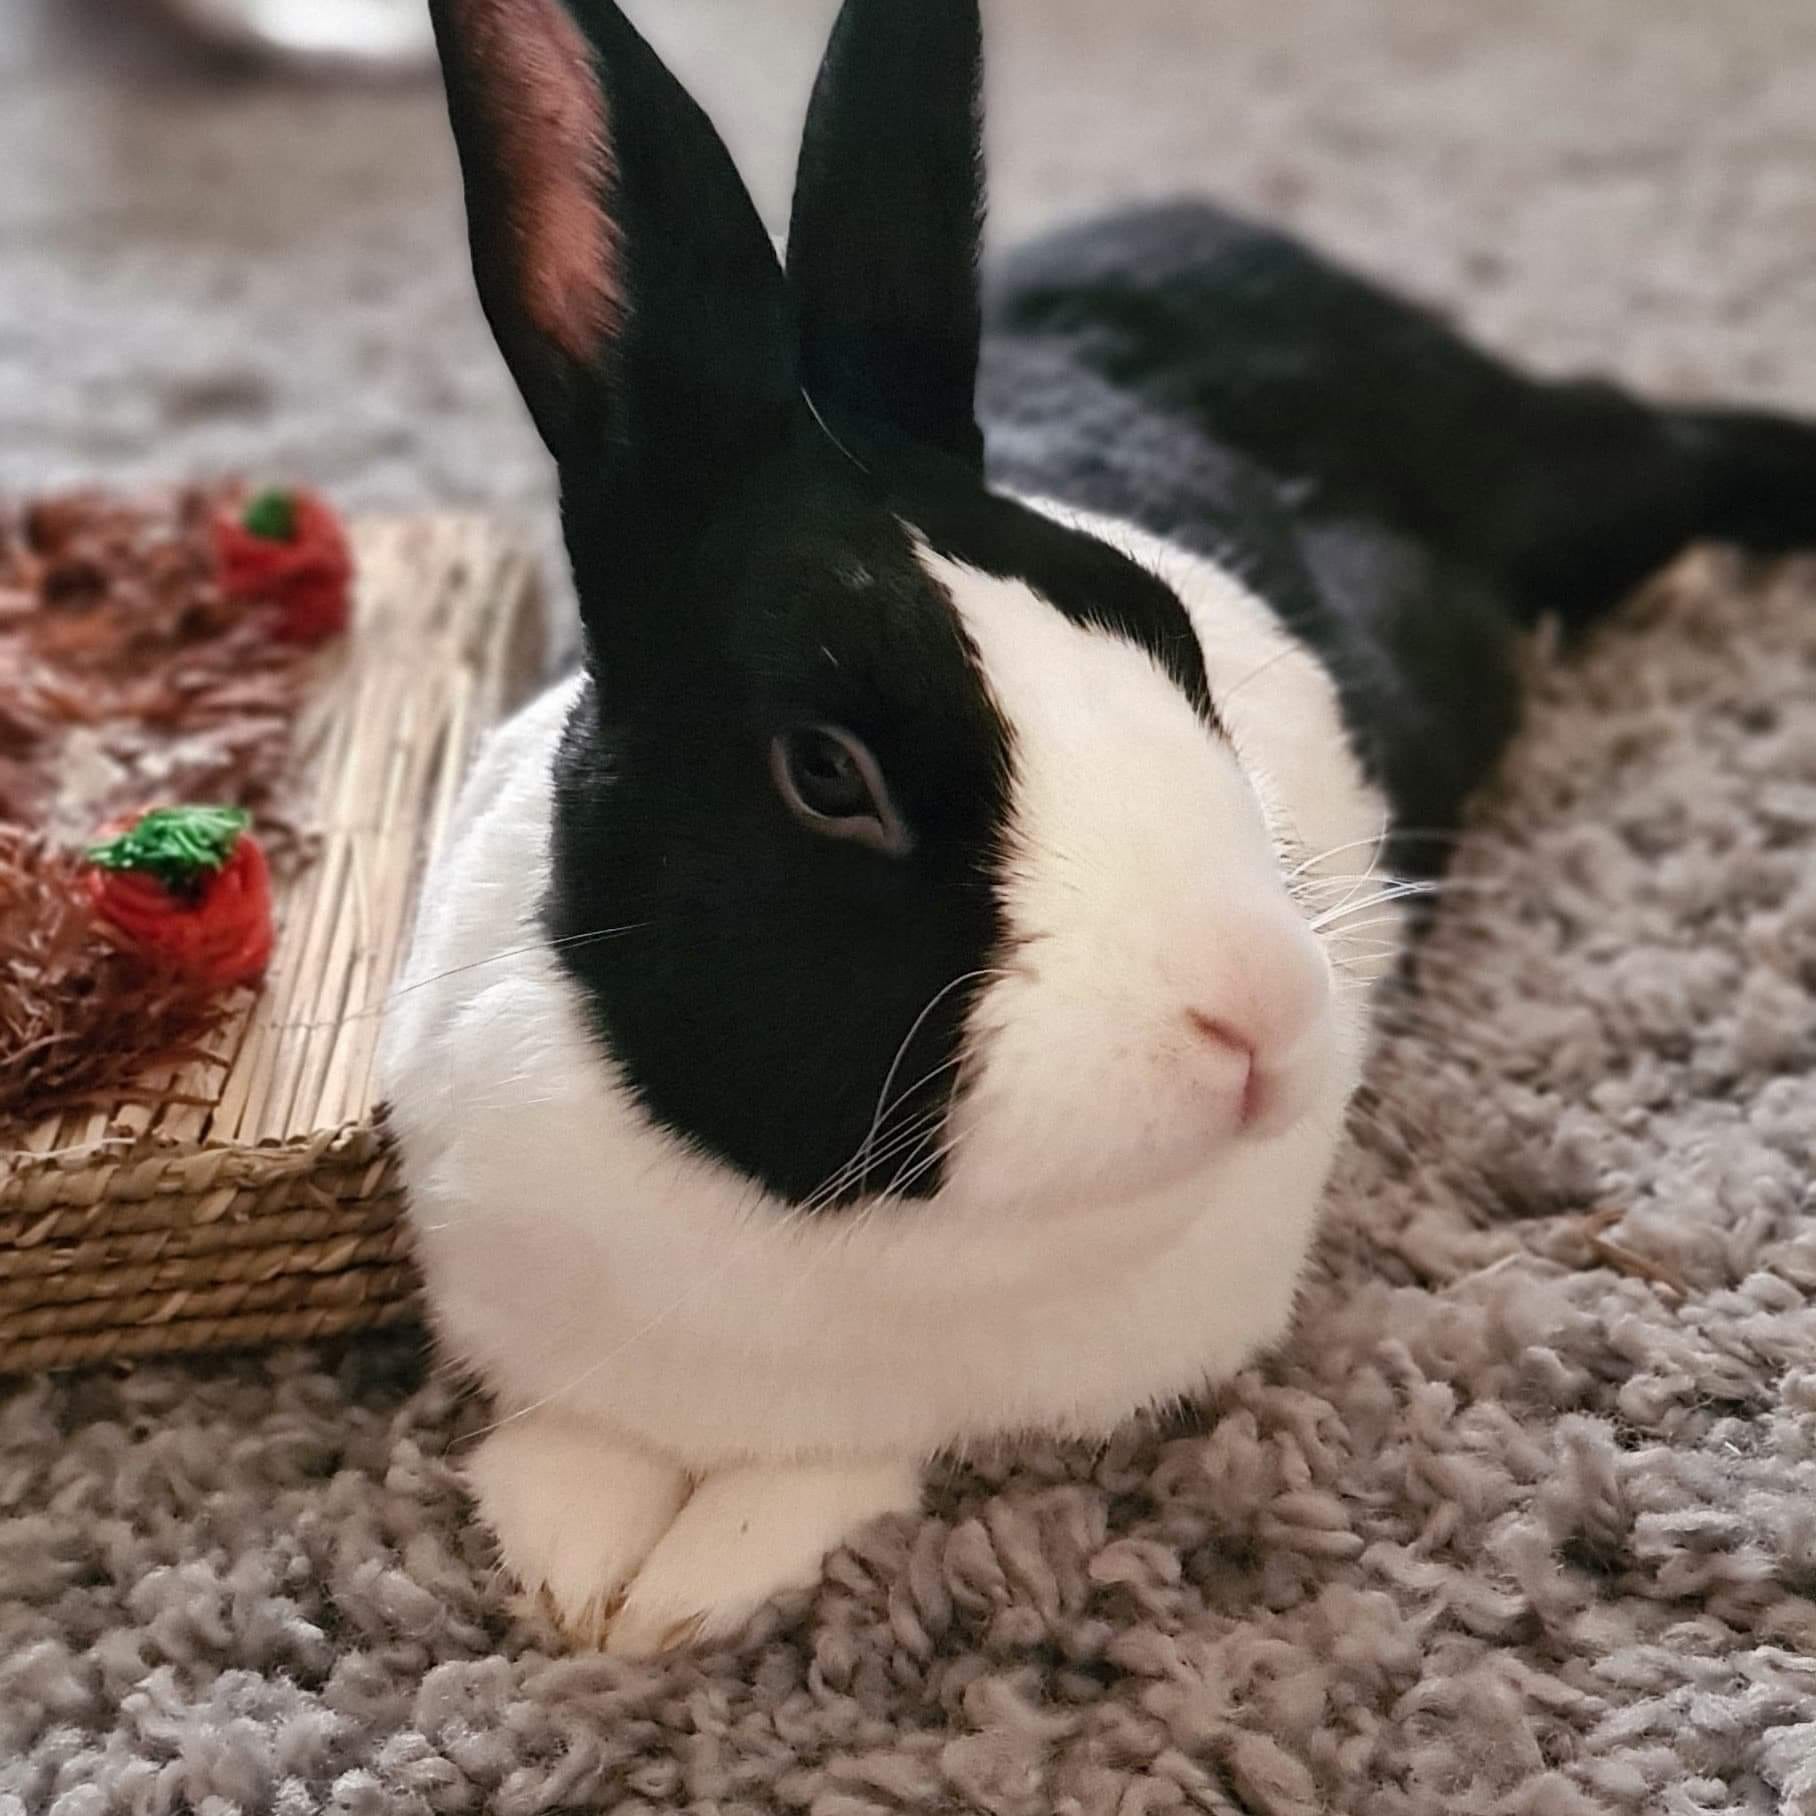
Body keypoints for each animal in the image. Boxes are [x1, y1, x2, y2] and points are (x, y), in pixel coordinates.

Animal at [381, 0, 1816, 1656]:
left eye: (1168, 632)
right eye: (828, 774)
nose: (1259, 1013)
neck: (782, 1202)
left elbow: (821, 1475)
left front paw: (687, 1587)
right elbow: (582, 1448)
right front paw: (566, 1565)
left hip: (1559, 481)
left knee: (1663, 446)